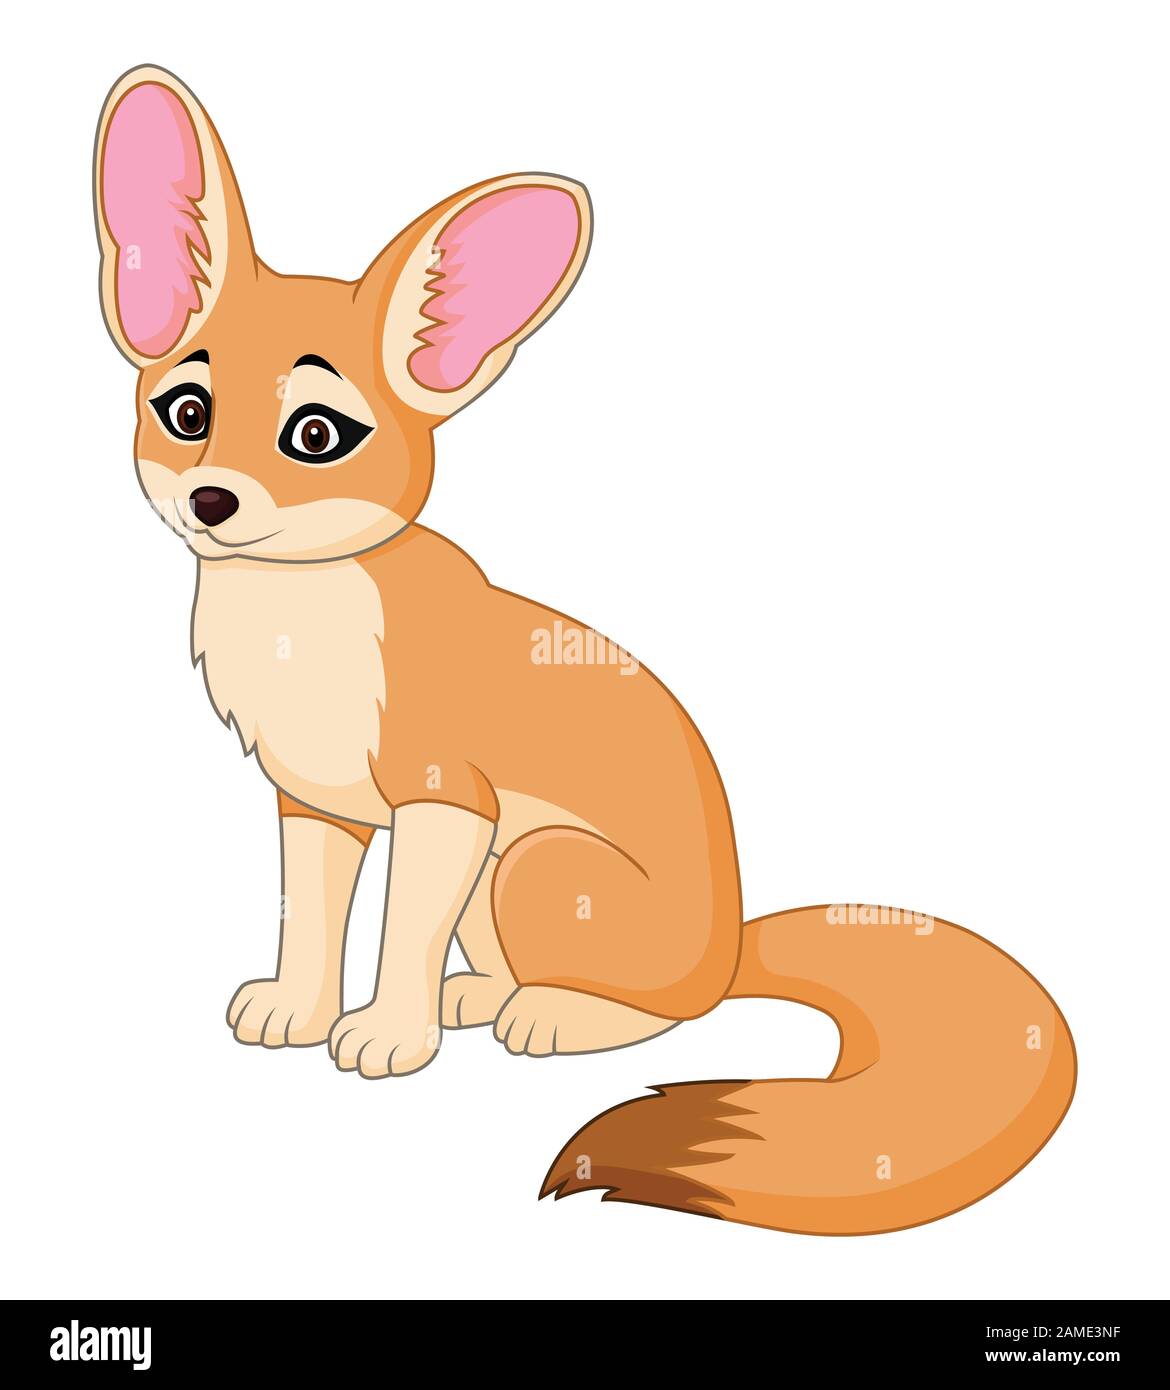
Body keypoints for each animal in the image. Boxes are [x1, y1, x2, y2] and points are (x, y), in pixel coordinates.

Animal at [94, 65, 1075, 1235]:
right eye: (186, 411)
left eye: (317, 437)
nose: (212, 501)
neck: (296, 624)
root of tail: (734, 941)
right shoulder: (316, 803)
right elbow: (313, 918)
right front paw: (297, 1007)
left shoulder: (445, 799)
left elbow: (399, 929)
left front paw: (387, 1034)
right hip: (497, 893)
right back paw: (486, 994)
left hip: (533, 863)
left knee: (660, 1014)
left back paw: (548, 1015)